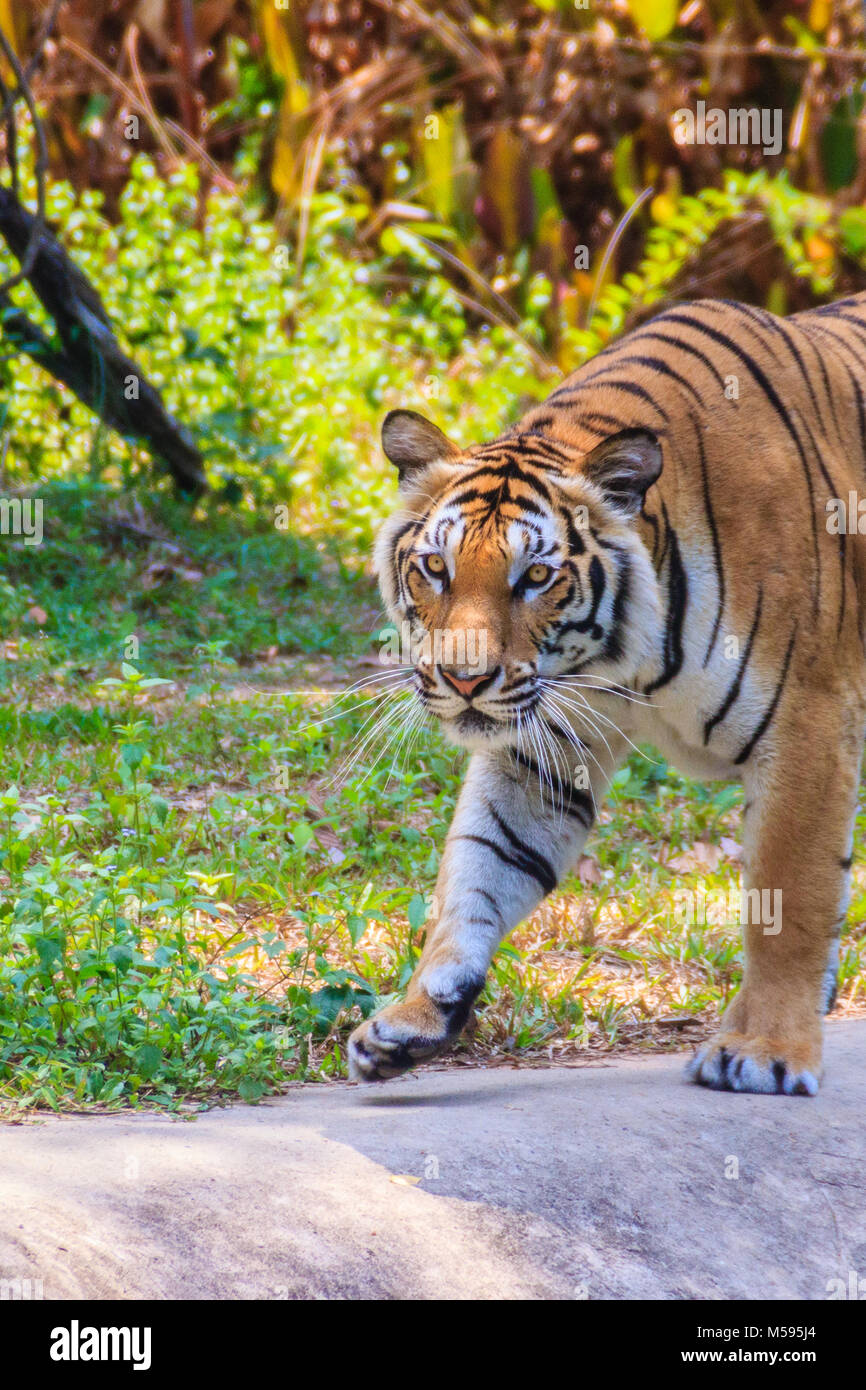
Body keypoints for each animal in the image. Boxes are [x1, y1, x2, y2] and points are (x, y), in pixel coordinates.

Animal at [347, 291, 866, 1095]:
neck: (626, 657)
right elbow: (479, 866)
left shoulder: (810, 726)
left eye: (535, 576)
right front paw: (414, 1017)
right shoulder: (546, 742)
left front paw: (765, 1051)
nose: (464, 680)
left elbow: (791, 897)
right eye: (435, 567)